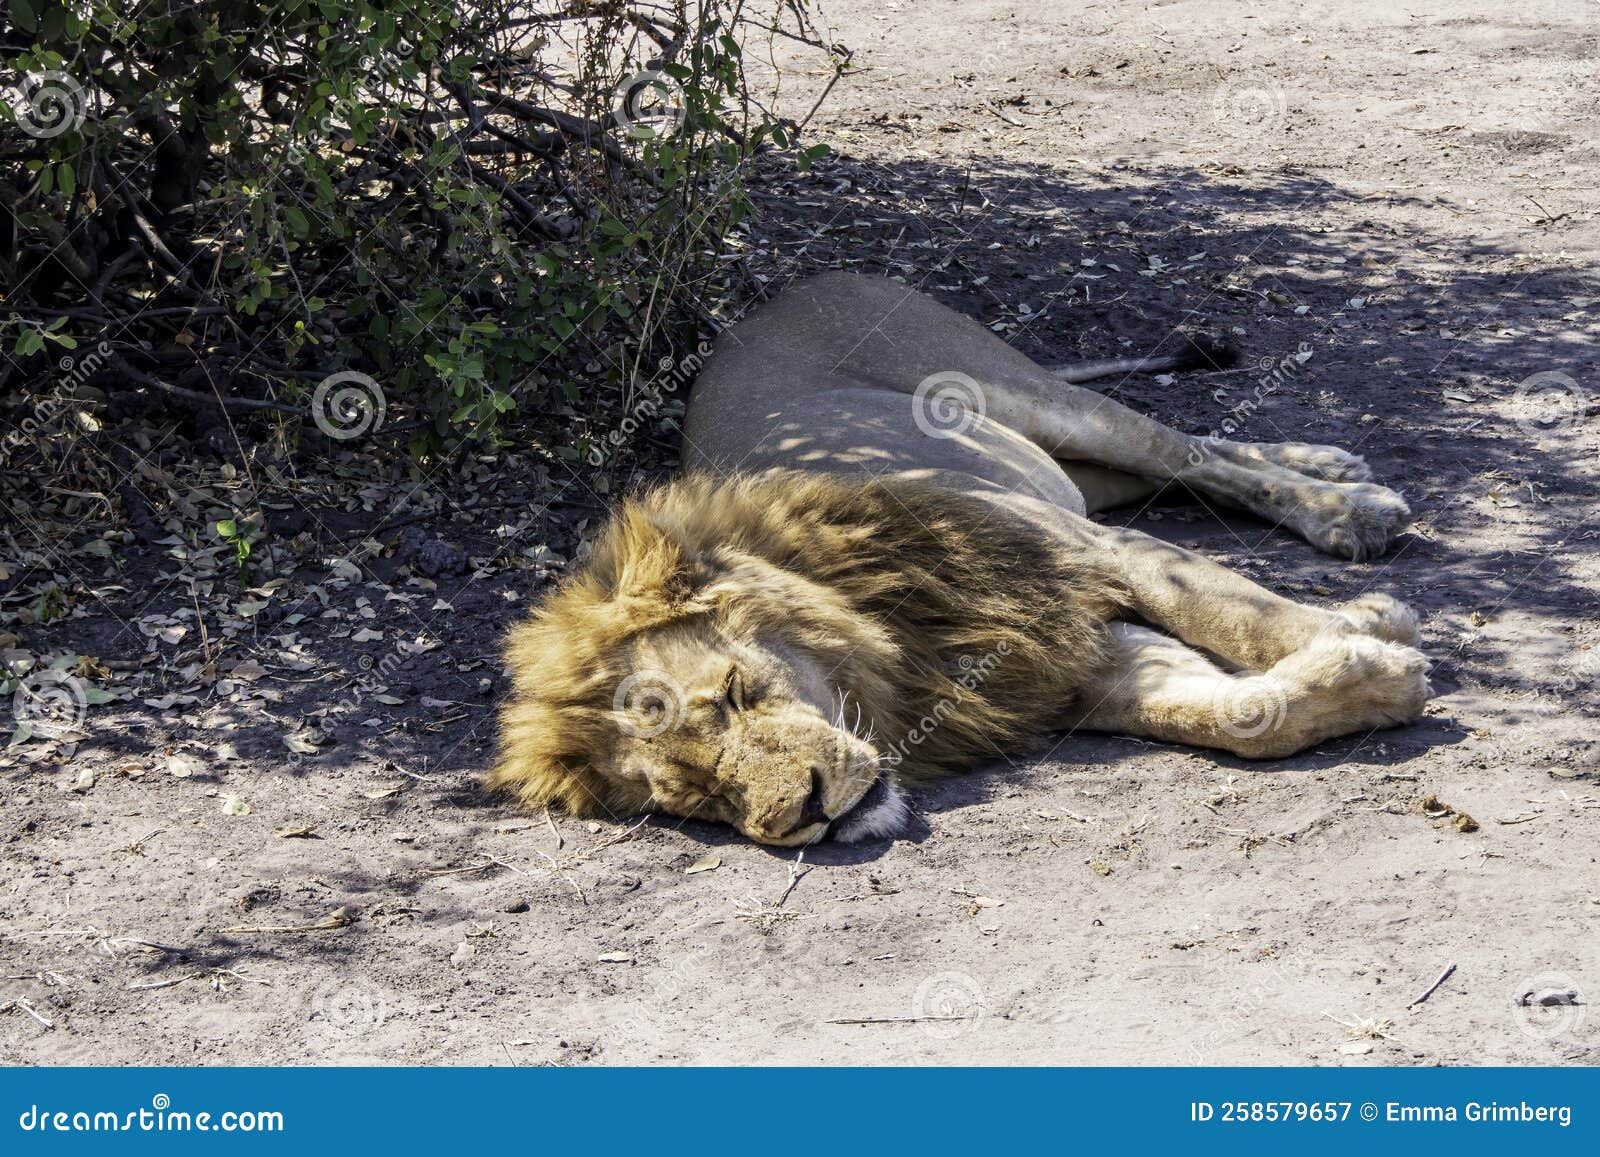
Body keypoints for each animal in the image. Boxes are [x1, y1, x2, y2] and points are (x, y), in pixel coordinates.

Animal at [490, 272, 1431, 846]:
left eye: (733, 693)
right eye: (689, 796)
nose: (807, 815)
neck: (876, 628)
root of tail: (784, 293)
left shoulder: (1084, 554)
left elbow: (1228, 609)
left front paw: (1370, 625)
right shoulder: (1063, 659)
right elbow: (1231, 712)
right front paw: (1370, 678)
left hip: (1028, 395)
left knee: (1187, 450)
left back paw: (1350, 505)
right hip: (1058, 463)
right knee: (1174, 468)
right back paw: (1333, 470)